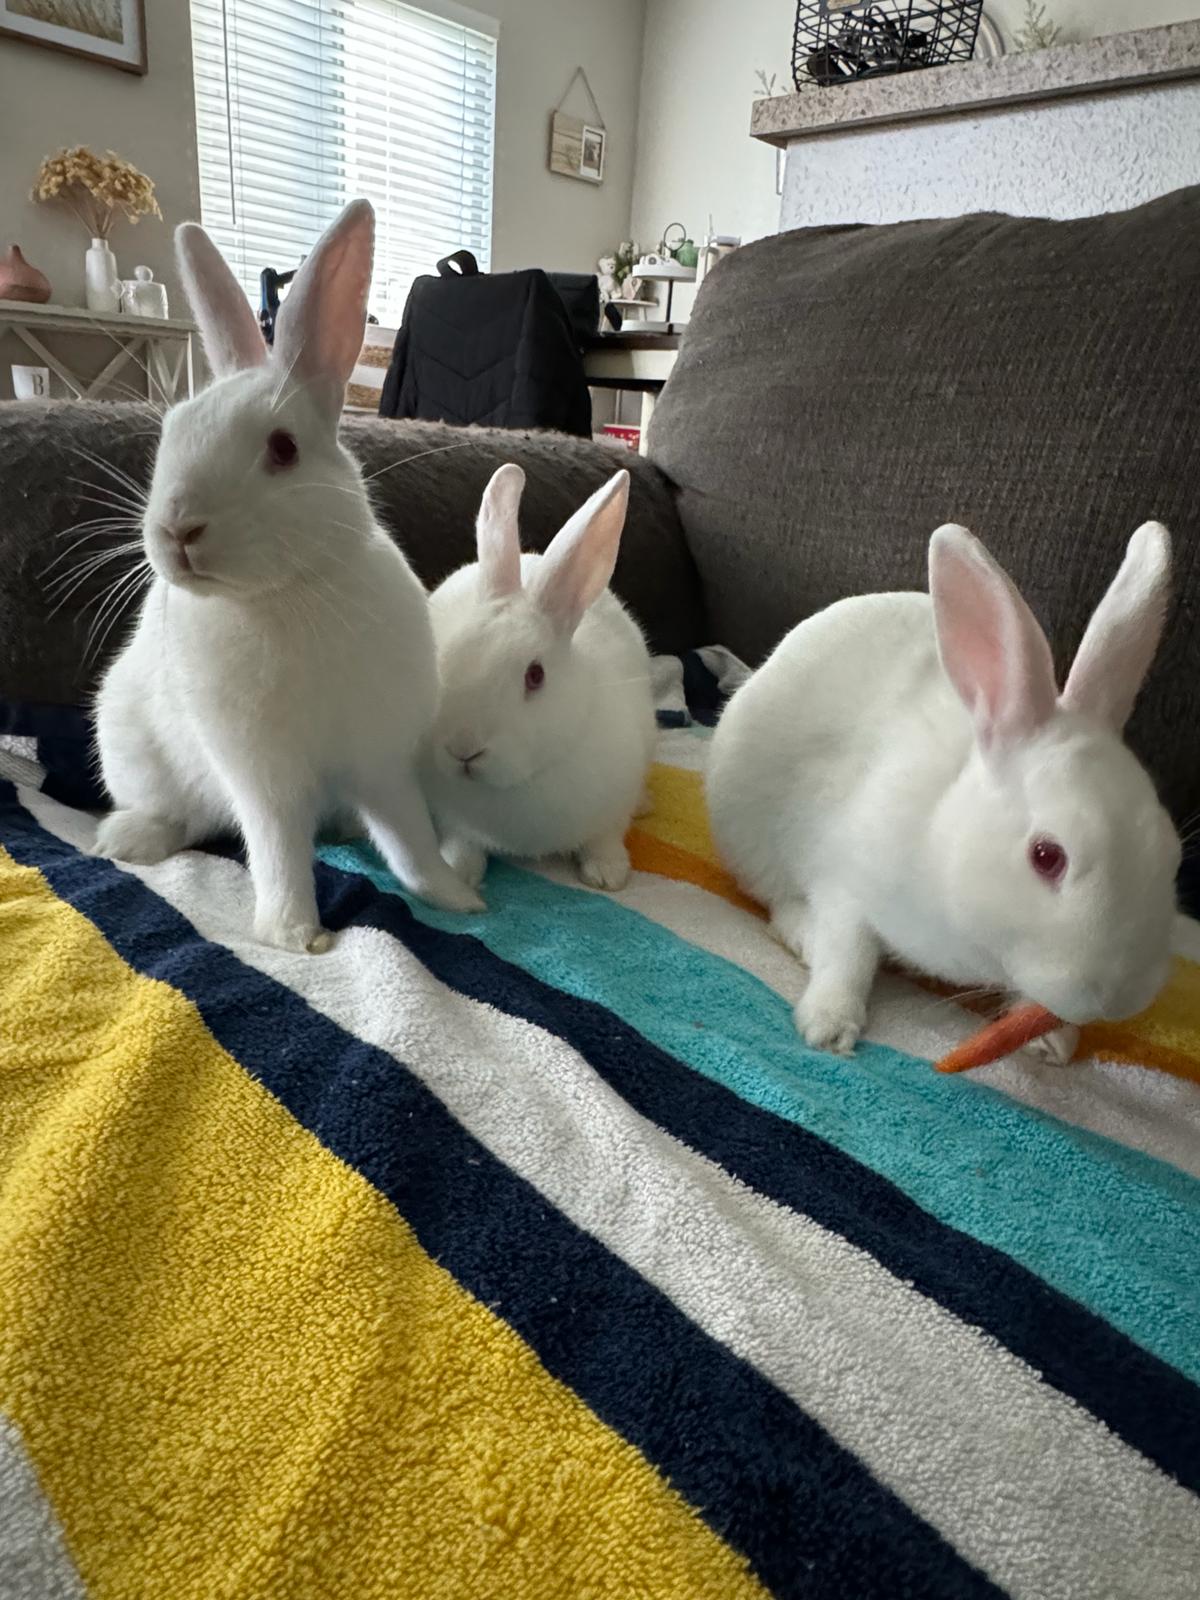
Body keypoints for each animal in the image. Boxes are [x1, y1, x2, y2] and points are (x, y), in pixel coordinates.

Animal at [91, 199, 484, 953]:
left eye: (282, 449)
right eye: (171, 433)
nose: (177, 529)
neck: (290, 592)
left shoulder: (380, 759)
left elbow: (410, 836)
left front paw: (457, 898)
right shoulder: (262, 774)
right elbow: (276, 847)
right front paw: (295, 935)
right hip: (128, 744)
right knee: (176, 815)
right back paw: (124, 840)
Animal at [422, 462, 657, 900]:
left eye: (535, 676)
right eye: (442, 656)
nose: (463, 749)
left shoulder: (612, 806)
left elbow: (605, 839)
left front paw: (608, 875)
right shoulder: (447, 815)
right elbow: (462, 843)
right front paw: (457, 873)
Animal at [707, 521, 1181, 1058]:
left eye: (1172, 855)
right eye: (1046, 856)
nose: (1120, 999)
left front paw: (1052, 1040)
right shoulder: (844, 881)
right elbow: (847, 953)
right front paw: (829, 1025)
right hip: (748, 836)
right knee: (777, 903)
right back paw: (803, 936)